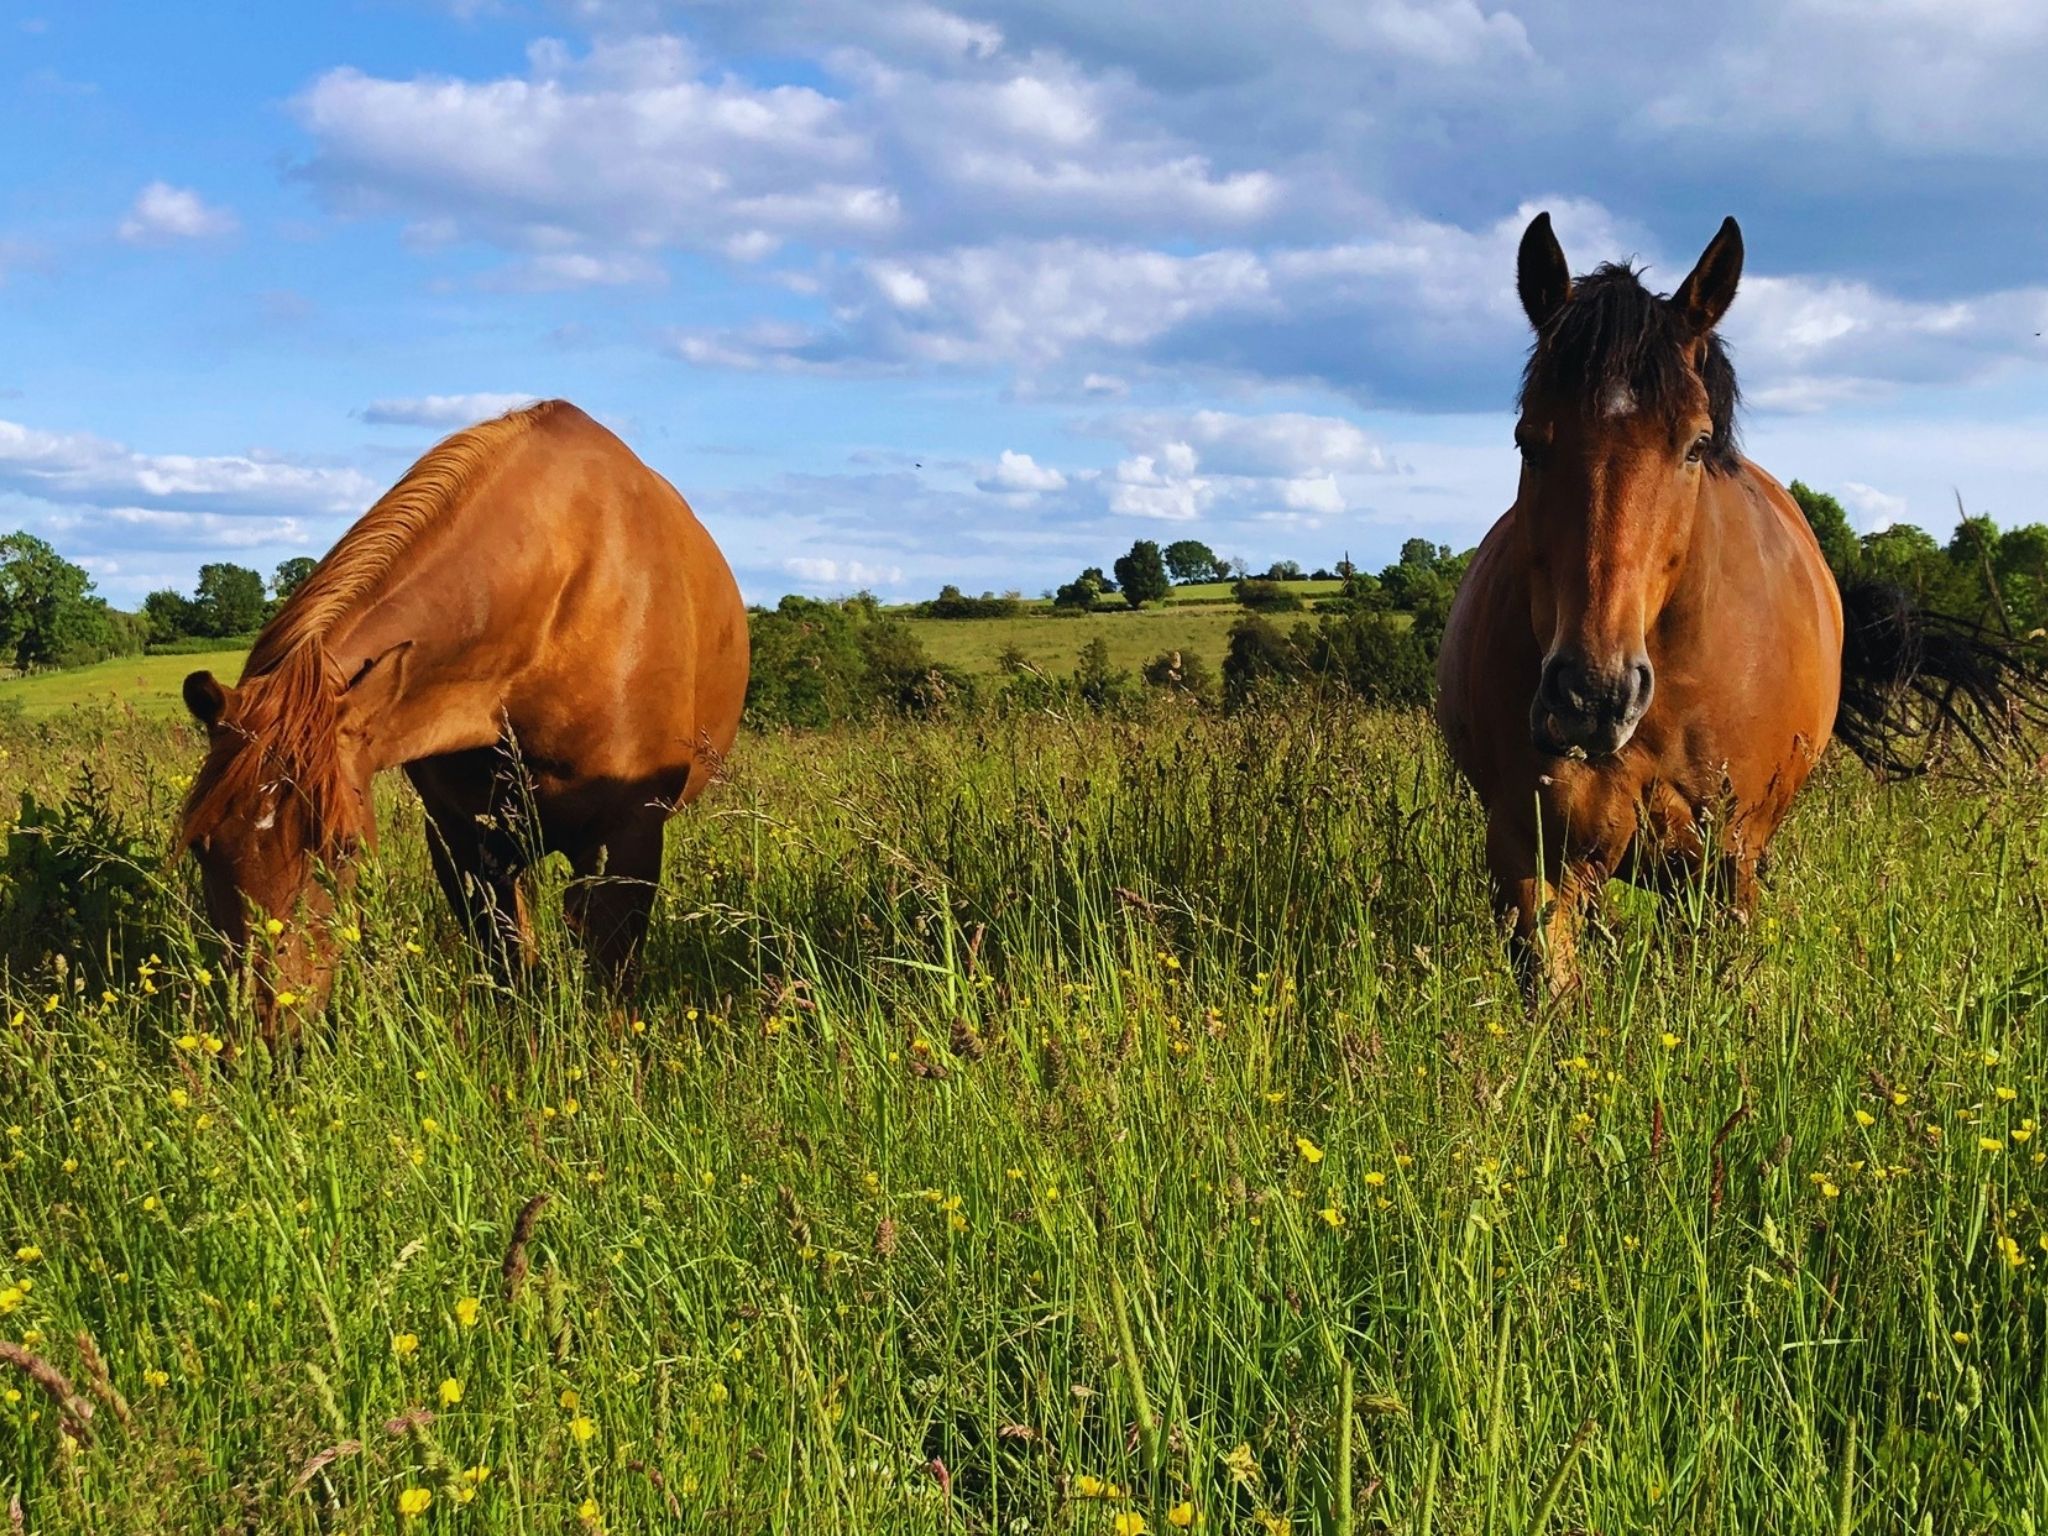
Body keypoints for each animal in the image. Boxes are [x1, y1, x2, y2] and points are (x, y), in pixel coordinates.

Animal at [179, 399, 748, 1035]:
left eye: (344, 848)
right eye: (201, 845)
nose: (267, 1032)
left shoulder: (629, 835)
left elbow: (610, 983)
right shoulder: (460, 837)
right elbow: (508, 970)